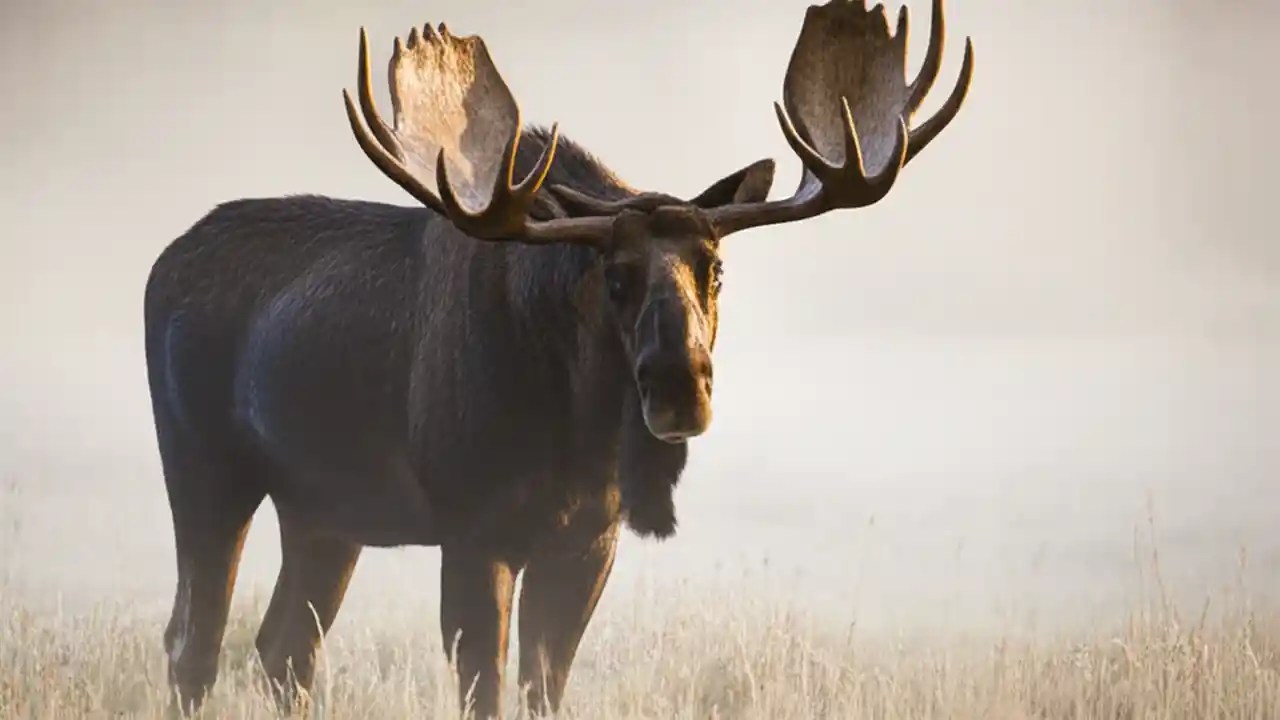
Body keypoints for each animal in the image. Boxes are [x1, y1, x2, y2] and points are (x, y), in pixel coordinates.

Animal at [143, 0, 973, 716]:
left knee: (283, 649)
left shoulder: (587, 542)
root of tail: (161, 264)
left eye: (715, 267)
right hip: (206, 468)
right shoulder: (474, 532)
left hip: (324, 509)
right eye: (614, 276)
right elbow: (484, 688)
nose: (681, 389)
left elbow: (545, 686)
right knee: (193, 640)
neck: (575, 436)